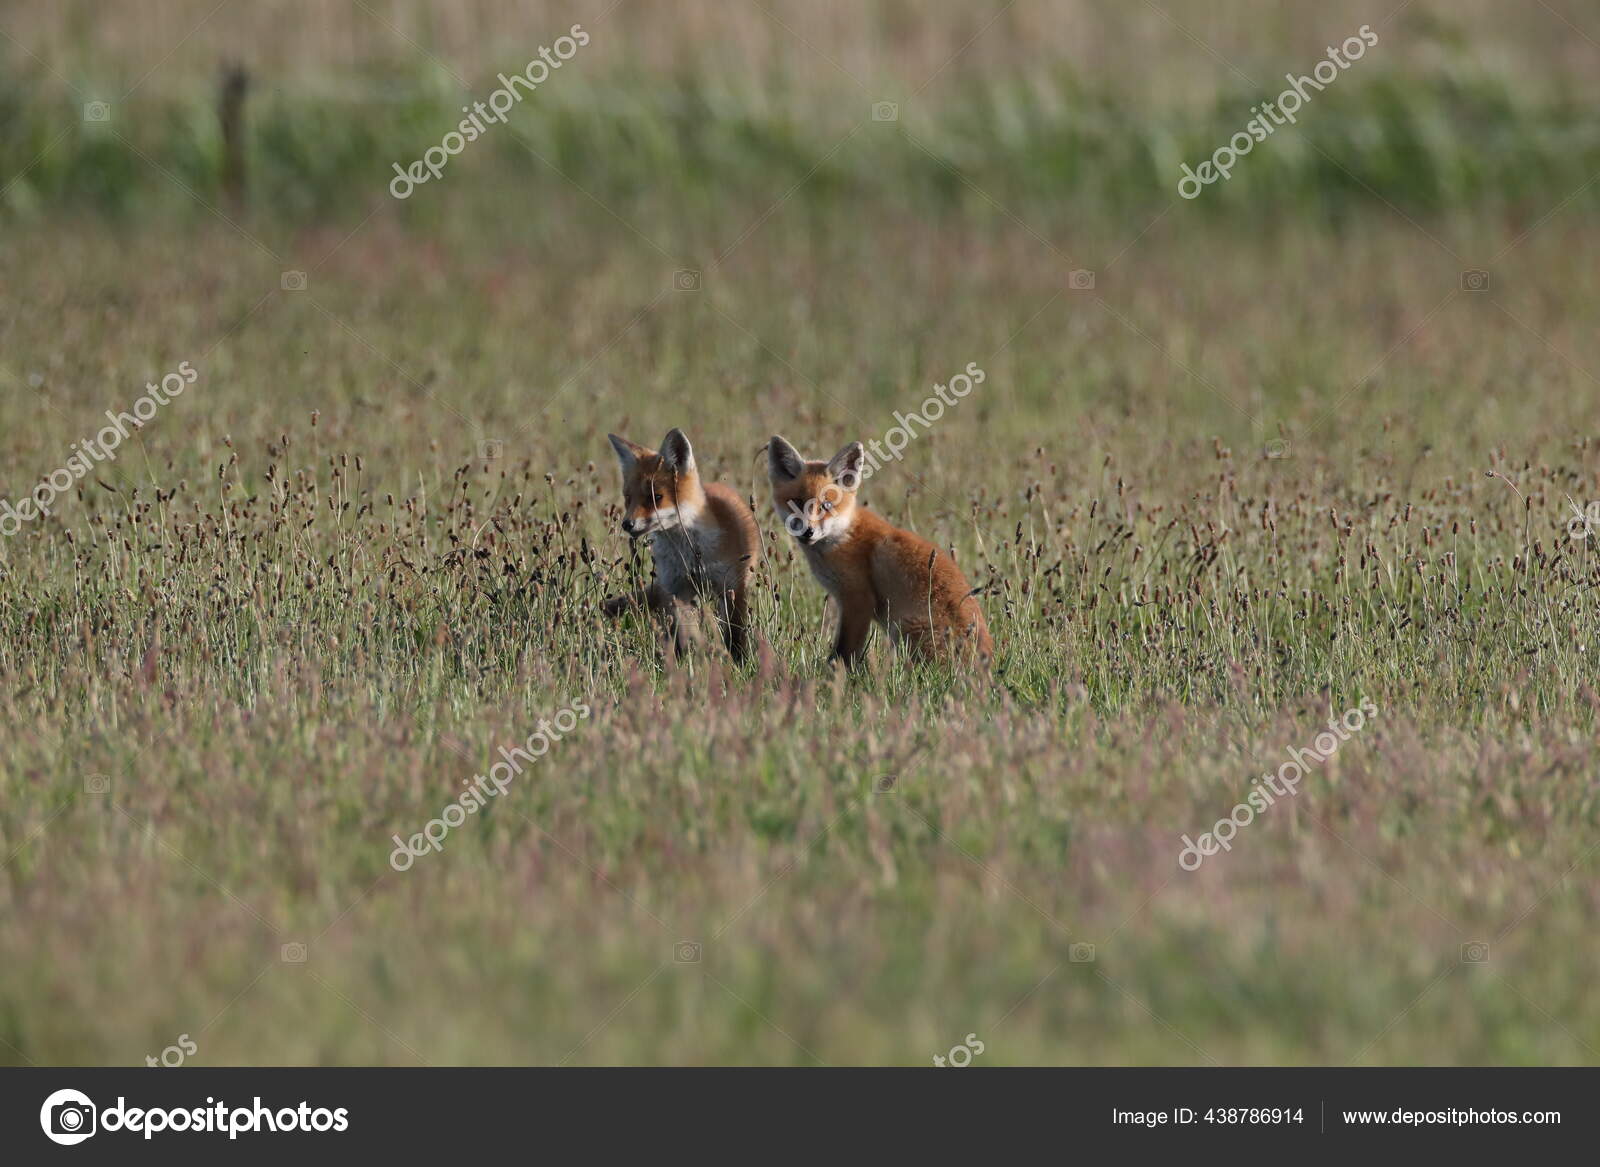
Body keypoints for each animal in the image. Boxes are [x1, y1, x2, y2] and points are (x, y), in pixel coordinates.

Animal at [602, 428, 760, 662]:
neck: (691, 554)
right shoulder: (676, 589)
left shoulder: (732, 586)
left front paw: (738, 662)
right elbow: (681, 632)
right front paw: (684, 661)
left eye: (656, 497)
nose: (627, 524)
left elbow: (735, 635)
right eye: (628, 498)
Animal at [766, 435, 992, 669]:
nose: (807, 531)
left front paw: (835, 673)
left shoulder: (858, 600)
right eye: (797, 503)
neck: (844, 534)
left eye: (826, 505)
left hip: (904, 629)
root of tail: (986, 663)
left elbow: (844, 652)